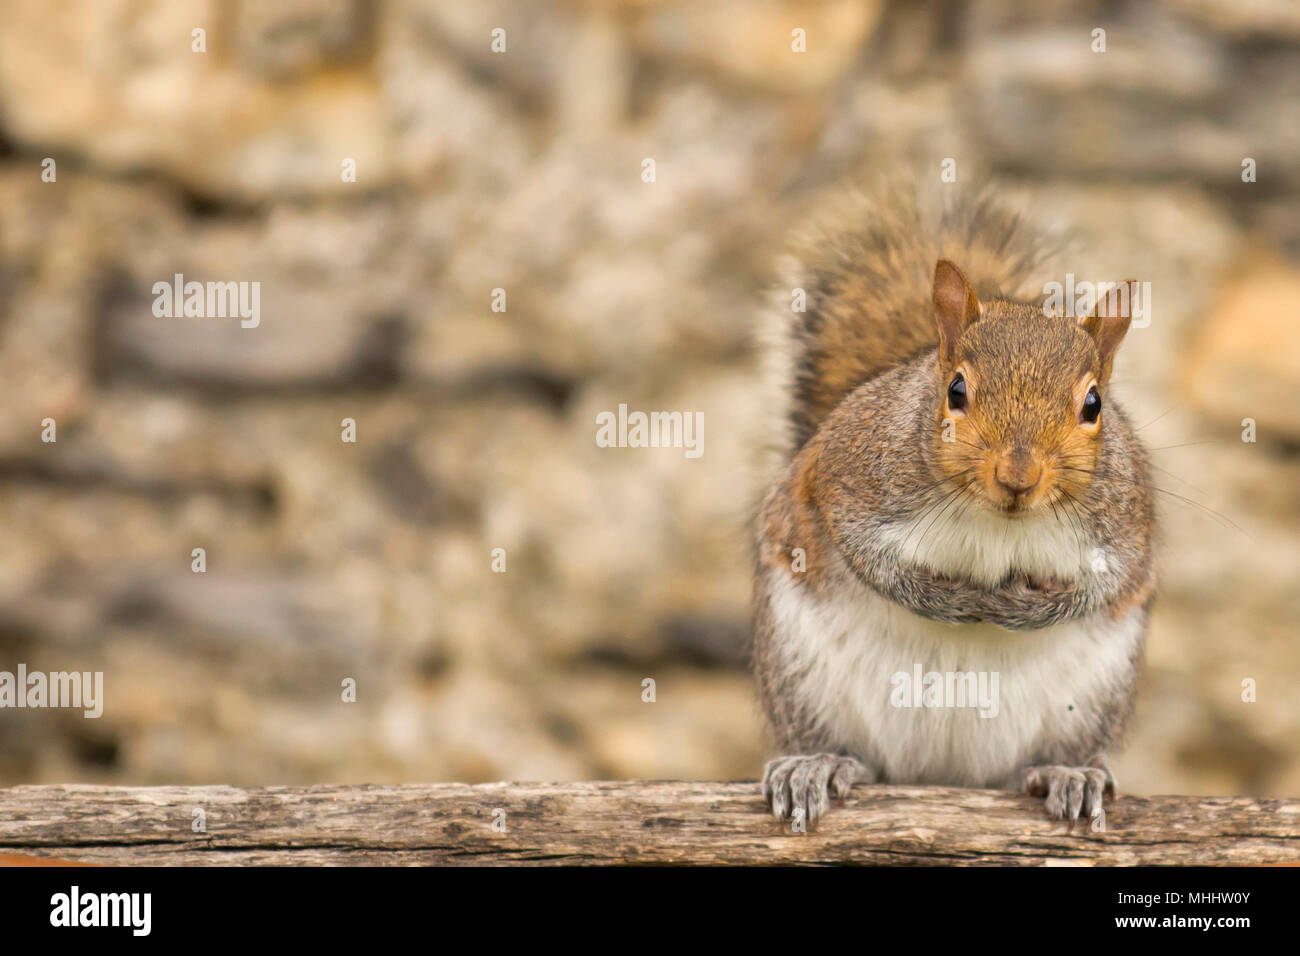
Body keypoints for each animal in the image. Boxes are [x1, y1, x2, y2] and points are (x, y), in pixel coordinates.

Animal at [752, 183, 1156, 827]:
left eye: (1093, 404)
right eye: (956, 390)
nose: (1018, 476)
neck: (1000, 520)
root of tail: (943, 773)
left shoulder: (1126, 523)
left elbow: (1107, 583)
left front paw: (1024, 609)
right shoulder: (846, 477)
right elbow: (866, 555)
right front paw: (947, 599)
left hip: (1094, 695)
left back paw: (1067, 773)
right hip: (801, 673)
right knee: (841, 746)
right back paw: (816, 764)